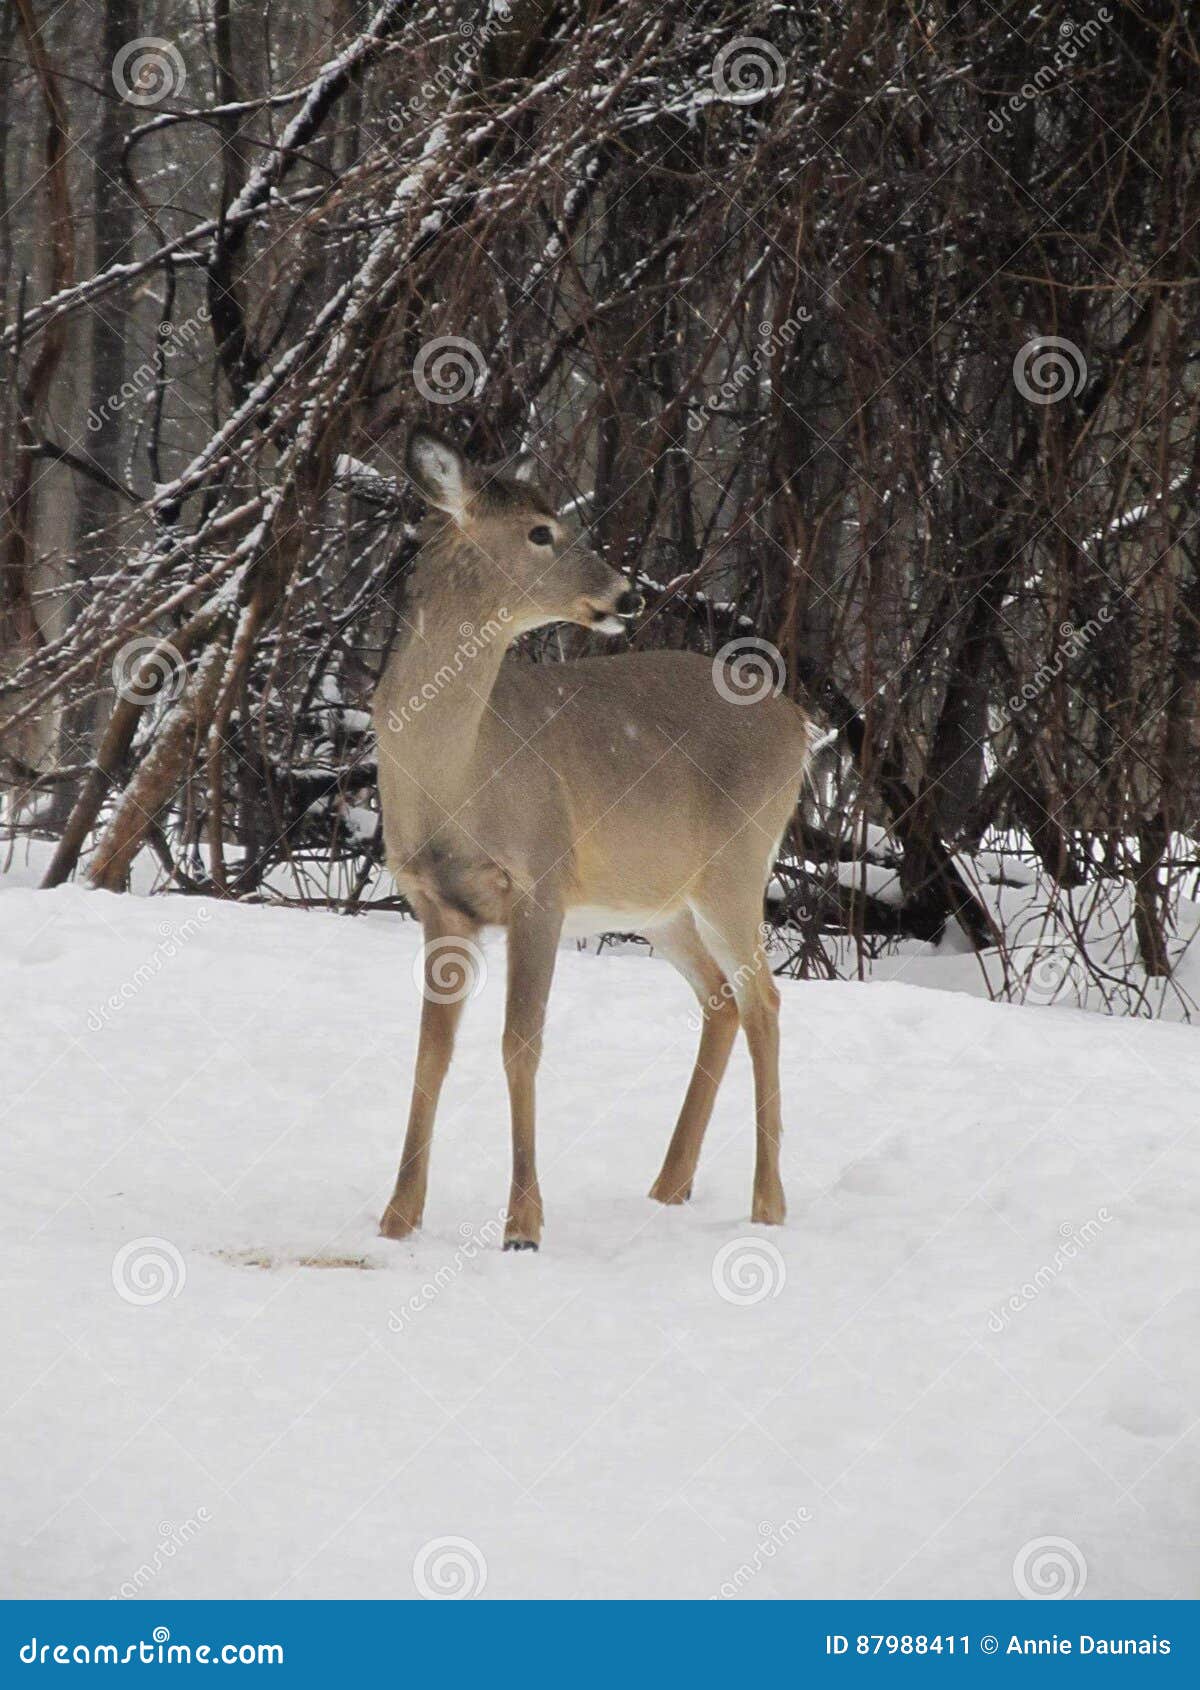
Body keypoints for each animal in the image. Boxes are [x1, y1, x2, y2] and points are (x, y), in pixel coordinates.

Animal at [372, 429, 811, 1250]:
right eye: (542, 532)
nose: (628, 593)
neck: (456, 772)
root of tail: (799, 721)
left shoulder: (541, 880)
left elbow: (521, 1044)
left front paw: (523, 1224)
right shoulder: (436, 905)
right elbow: (429, 1054)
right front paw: (397, 1217)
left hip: (737, 867)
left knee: (763, 998)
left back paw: (768, 1202)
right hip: (660, 905)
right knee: (720, 1001)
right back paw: (669, 1185)